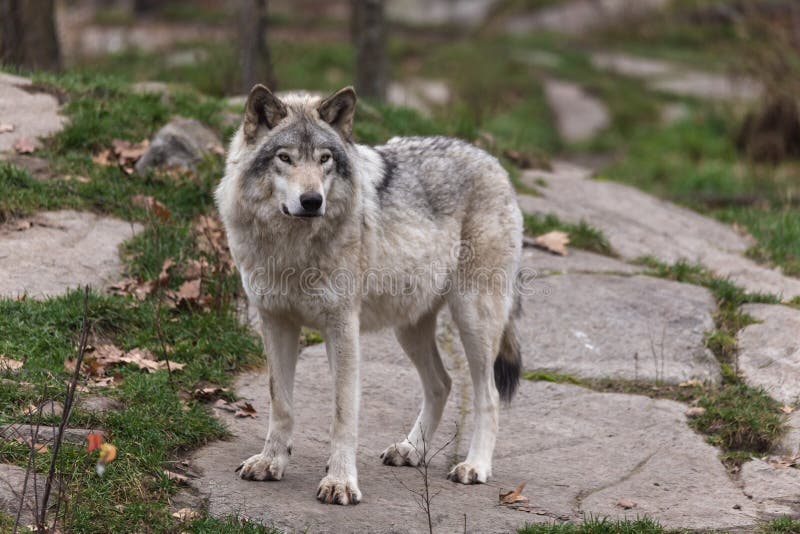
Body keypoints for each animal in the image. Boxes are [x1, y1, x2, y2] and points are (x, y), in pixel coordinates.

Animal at [215, 84, 523, 505]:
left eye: (325, 159)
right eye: (285, 158)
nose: (312, 201)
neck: (292, 249)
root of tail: (492, 161)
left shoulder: (342, 327)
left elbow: (343, 415)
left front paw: (341, 483)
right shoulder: (275, 321)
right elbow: (281, 403)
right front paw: (271, 462)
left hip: (473, 319)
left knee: (487, 394)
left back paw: (475, 467)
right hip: (409, 328)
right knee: (442, 384)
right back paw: (411, 450)